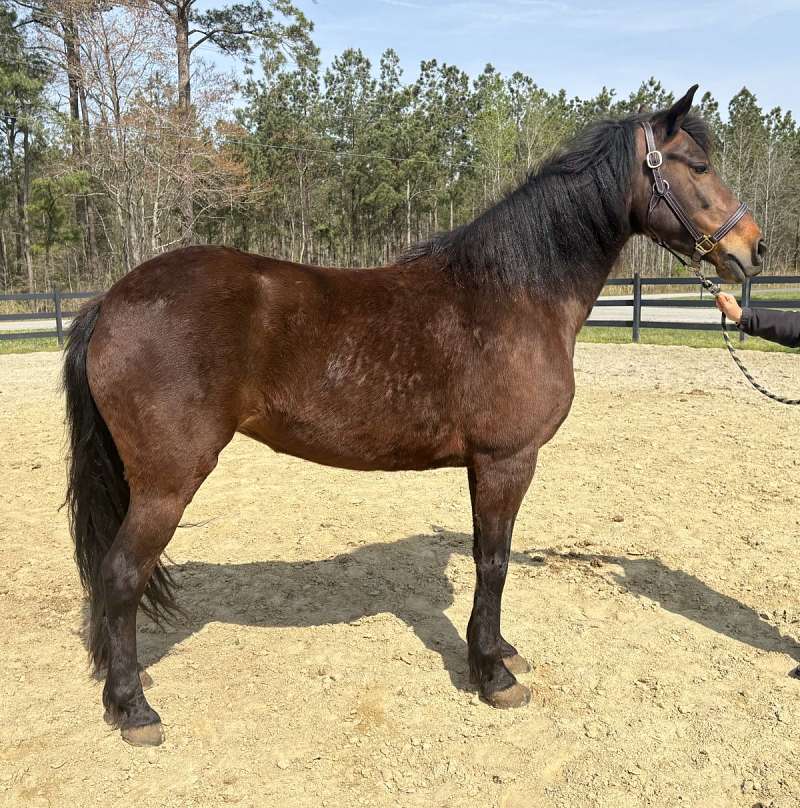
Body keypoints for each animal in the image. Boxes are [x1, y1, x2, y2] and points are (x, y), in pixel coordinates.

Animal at [63, 85, 765, 746]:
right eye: (699, 165)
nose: (754, 247)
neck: (513, 292)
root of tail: (111, 300)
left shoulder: (487, 465)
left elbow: (489, 554)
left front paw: (498, 651)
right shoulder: (507, 460)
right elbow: (494, 562)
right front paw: (493, 675)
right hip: (168, 483)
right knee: (121, 574)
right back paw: (133, 710)